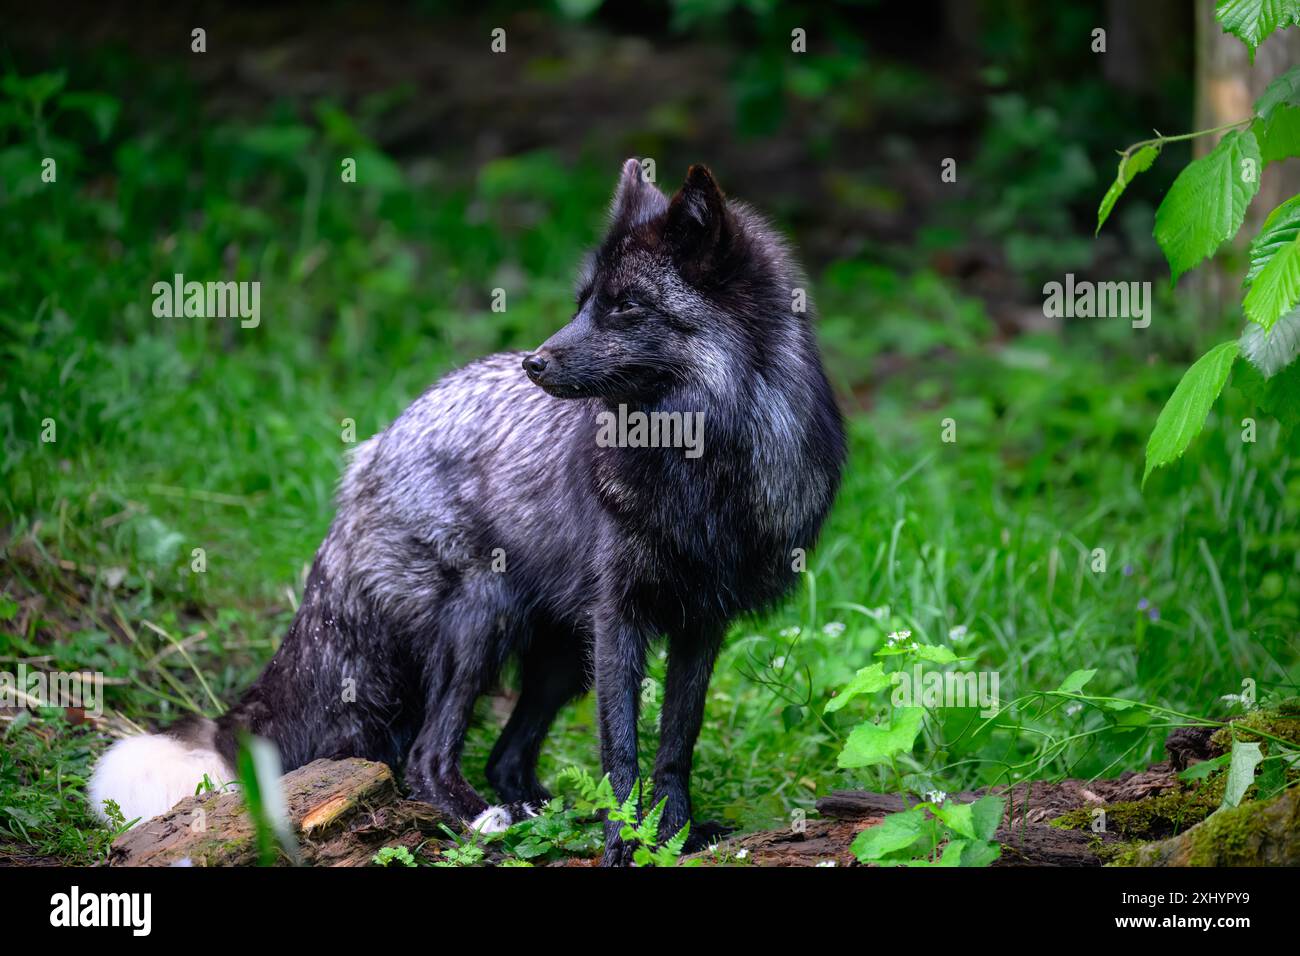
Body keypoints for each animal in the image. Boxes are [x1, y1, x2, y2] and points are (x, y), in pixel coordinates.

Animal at [89, 159, 846, 864]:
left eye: (627, 307)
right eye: (583, 302)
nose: (535, 364)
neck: (702, 469)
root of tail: (369, 456)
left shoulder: (701, 622)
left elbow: (674, 746)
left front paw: (677, 837)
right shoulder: (620, 618)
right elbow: (621, 753)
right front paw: (622, 847)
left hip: (562, 656)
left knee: (504, 756)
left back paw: (533, 813)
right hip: (483, 618)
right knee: (426, 756)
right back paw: (484, 821)